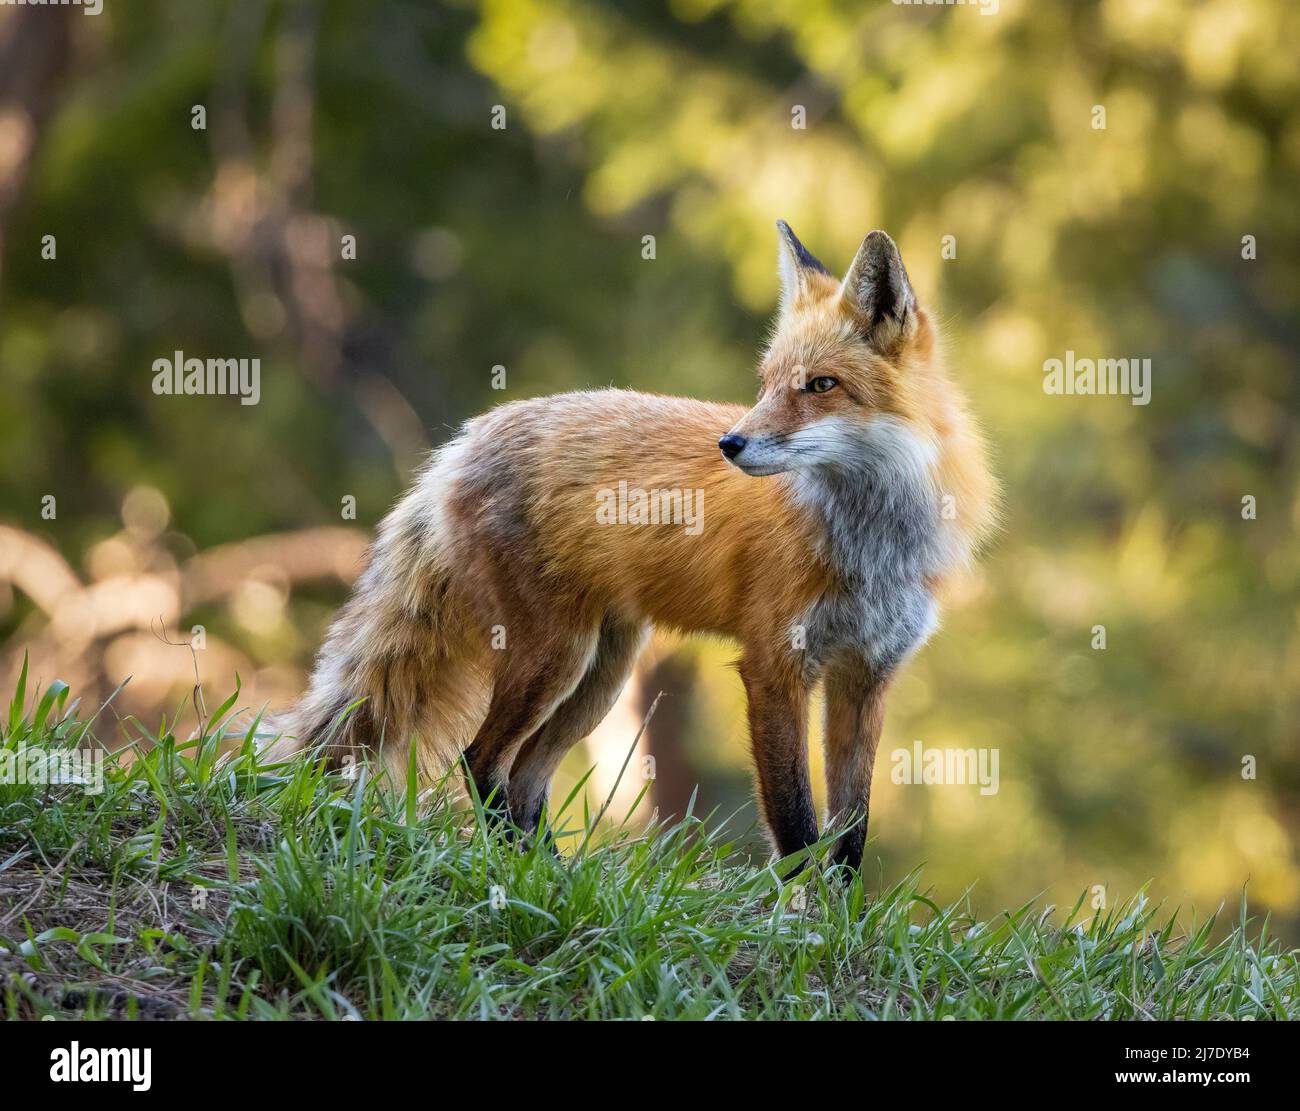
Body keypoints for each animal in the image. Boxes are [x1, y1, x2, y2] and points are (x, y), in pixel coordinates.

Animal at [284, 222, 997, 870]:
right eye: (766, 383)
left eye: (820, 385)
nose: (730, 444)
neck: (873, 544)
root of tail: (462, 441)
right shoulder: (774, 665)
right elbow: (797, 829)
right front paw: (798, 919)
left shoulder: (867, 676)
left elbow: (850, 839)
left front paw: (839, 922)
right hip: (554, 658)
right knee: (482, 761)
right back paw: (522, 875)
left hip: (600, 675)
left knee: (525, 783)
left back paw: (551, 876)